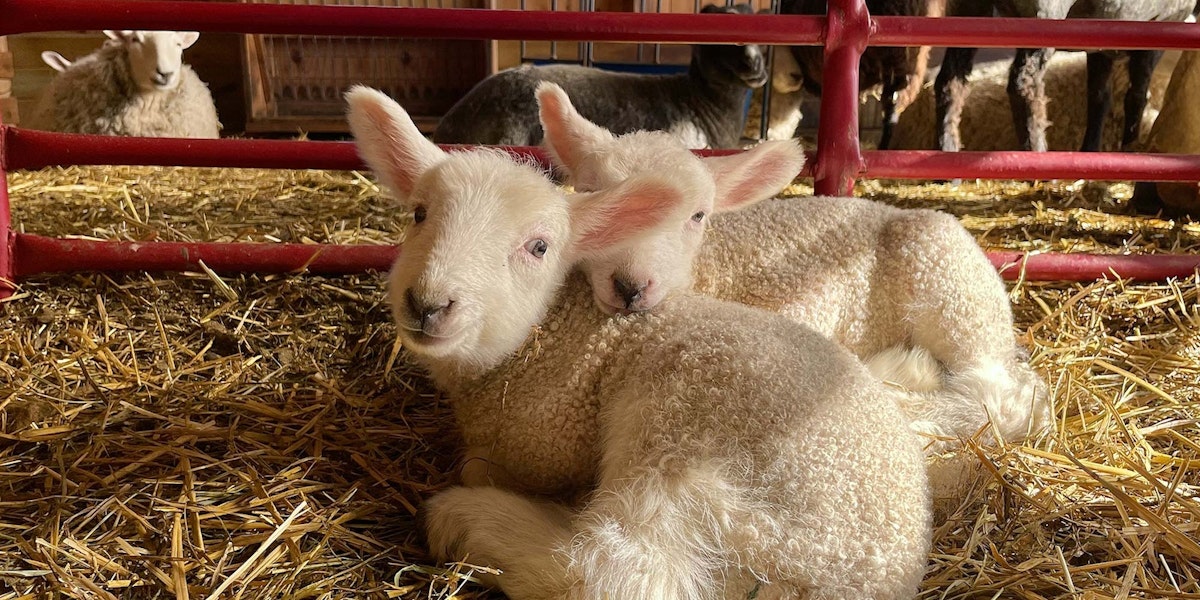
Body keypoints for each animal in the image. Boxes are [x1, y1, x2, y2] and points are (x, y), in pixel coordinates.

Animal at [348, 84, 931, 599]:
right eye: (419, 213)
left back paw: (466, 520)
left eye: (539, 247)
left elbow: (484, 466)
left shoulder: (546, 447)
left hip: (684, 453)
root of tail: (864, 577)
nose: (428, 304)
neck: (544, 336)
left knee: (616, 573)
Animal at [538, 83, 1051, 452]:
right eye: (592, 196)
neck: (712, 269)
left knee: (1001, 395)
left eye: (698, 215)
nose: (630, 286)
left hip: (950, 287)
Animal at [933, 0, 1195, 153]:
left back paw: (947, 156)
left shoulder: (1101, 42)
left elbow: (1099, 98)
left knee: (949, 81)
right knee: (1024, 83)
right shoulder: (1160, 26)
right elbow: (1137, 97)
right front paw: (1129, 149)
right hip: (1044, 12)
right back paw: (1035, 153)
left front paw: (1090, 151)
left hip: (968, 9)